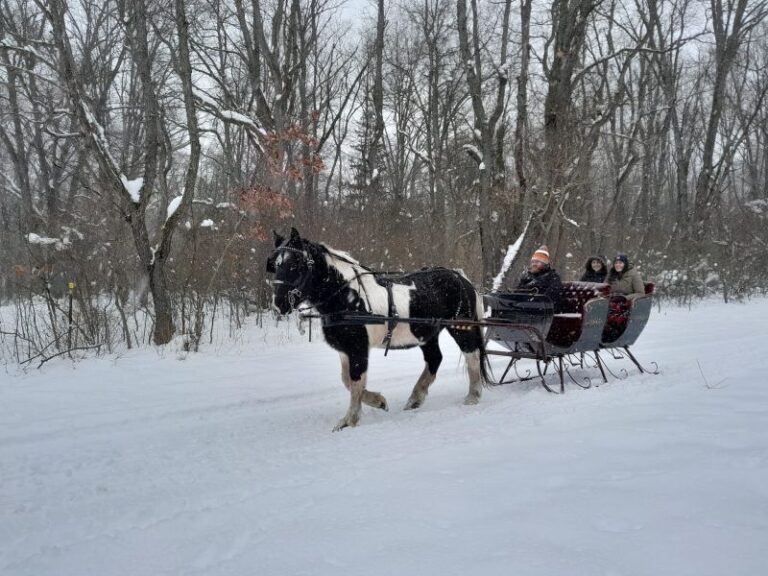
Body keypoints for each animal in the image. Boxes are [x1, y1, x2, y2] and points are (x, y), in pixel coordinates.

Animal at [267, 228, 488, 431]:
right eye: (275, 265)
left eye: (295, 264)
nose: (279, 304)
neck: (347, 297)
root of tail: (461, 278)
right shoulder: (345, 350)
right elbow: (347, 381)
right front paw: (378, 402)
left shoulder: (358, 348)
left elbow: (356, 381)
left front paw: (351, 419)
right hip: (426, 334)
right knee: (435, 359)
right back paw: (415, 399)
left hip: (461, 328)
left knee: (472, 355)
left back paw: (473, 396)